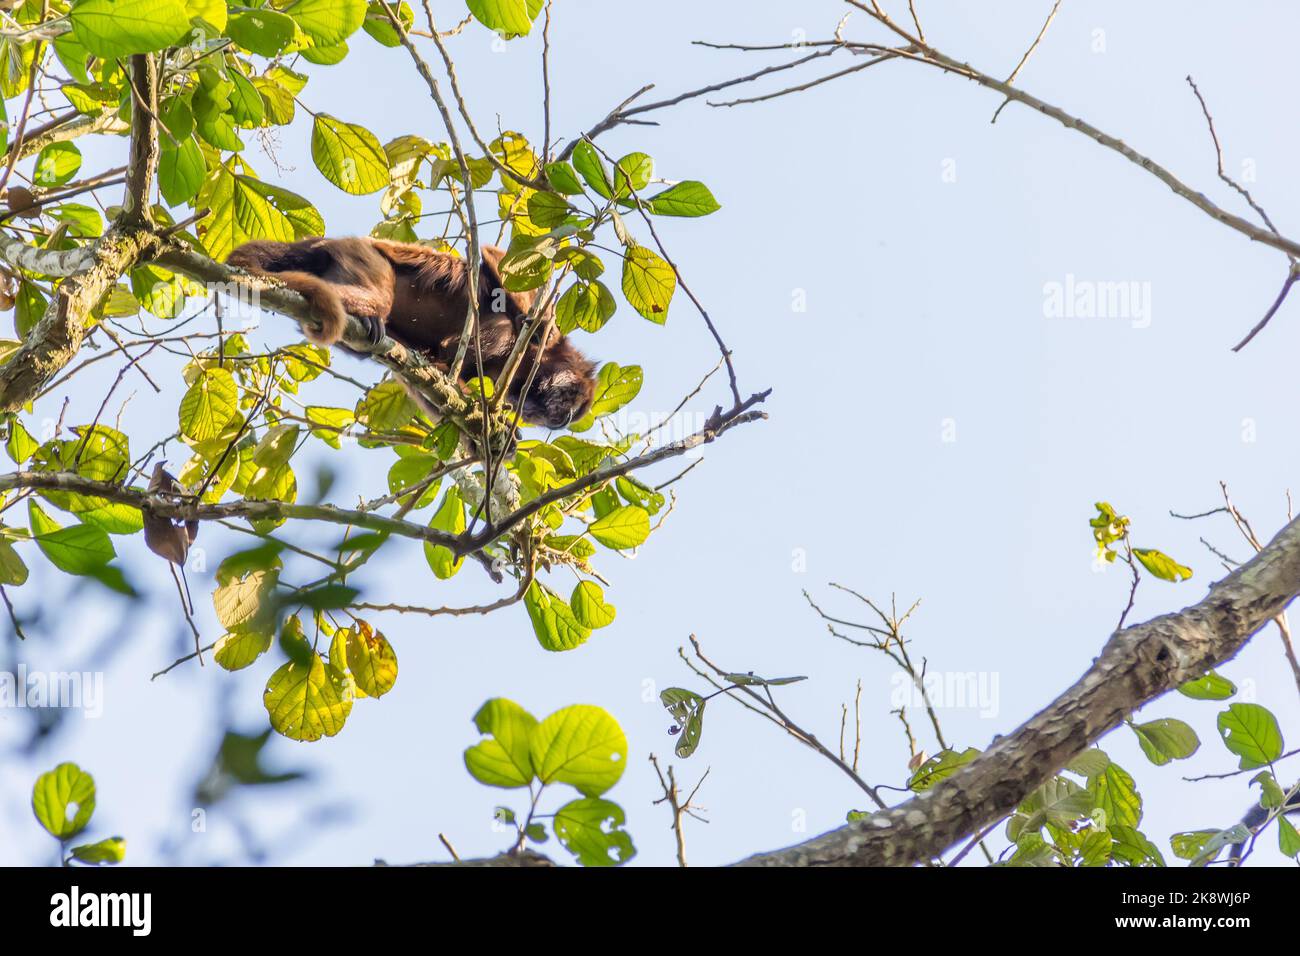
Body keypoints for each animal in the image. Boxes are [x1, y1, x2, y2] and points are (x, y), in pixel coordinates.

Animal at [225, 237, 597, 430]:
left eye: (565, 417)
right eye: (569, 403)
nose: (559, 421)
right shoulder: (548, 335)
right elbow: (496, 261)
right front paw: (532, 323)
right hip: (361, 255)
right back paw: (363, 310)